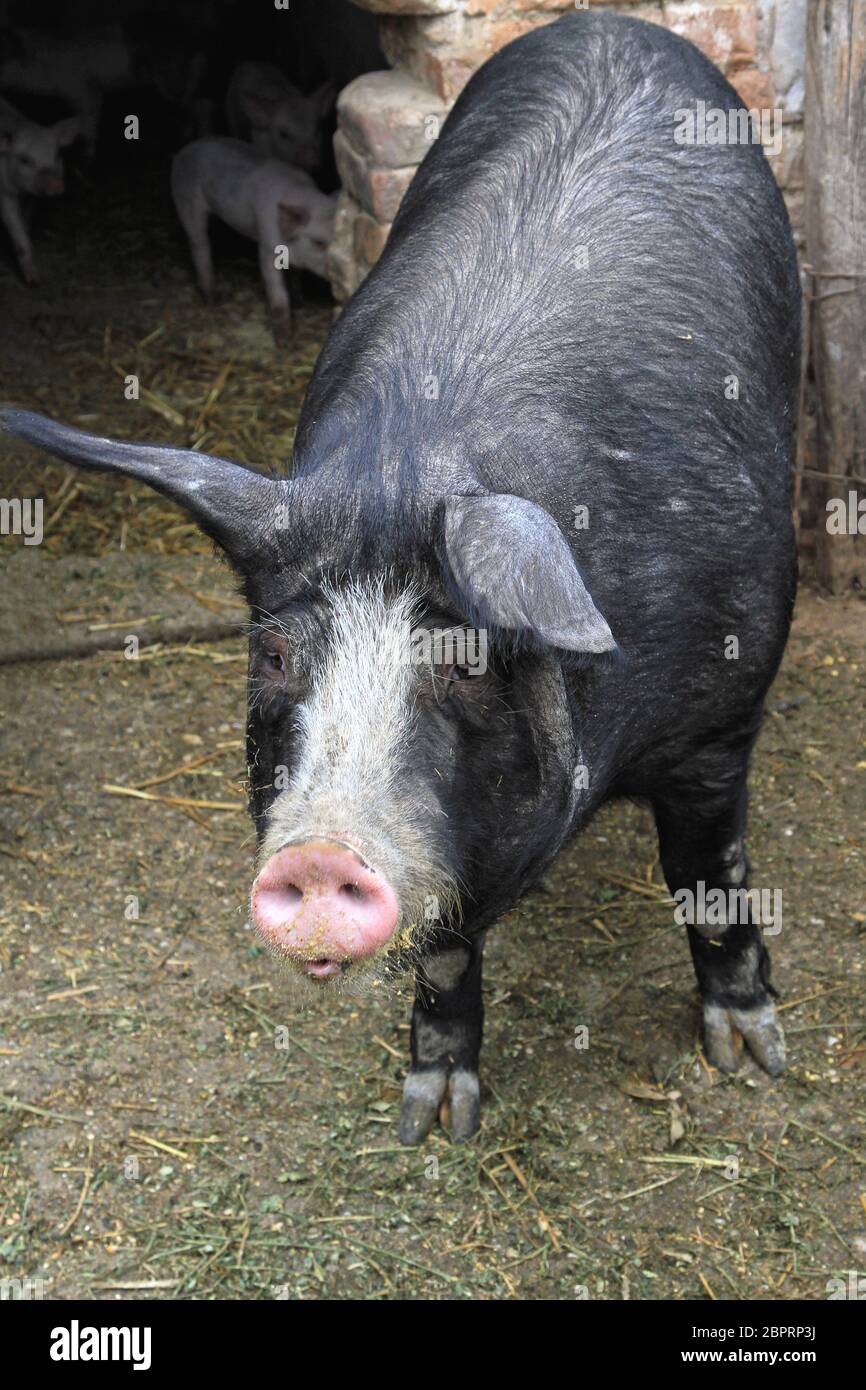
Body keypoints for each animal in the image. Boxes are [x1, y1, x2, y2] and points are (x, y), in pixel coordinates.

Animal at [0, 97, 78, 284]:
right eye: (24, 160)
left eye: (56, 155)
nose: (56, 184)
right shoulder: (4, 192)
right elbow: (14, 225)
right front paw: (33, 281)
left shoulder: (32, 198)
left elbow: (26, 220)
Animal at [171, 137, 336, 344]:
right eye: (318, 242)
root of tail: (184, 150)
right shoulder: (266, 246)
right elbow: (277, 293)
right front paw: (283, 343)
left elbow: (295, 275)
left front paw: (299, 302)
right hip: (186, 200)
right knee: (199, 243)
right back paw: (212, 301)